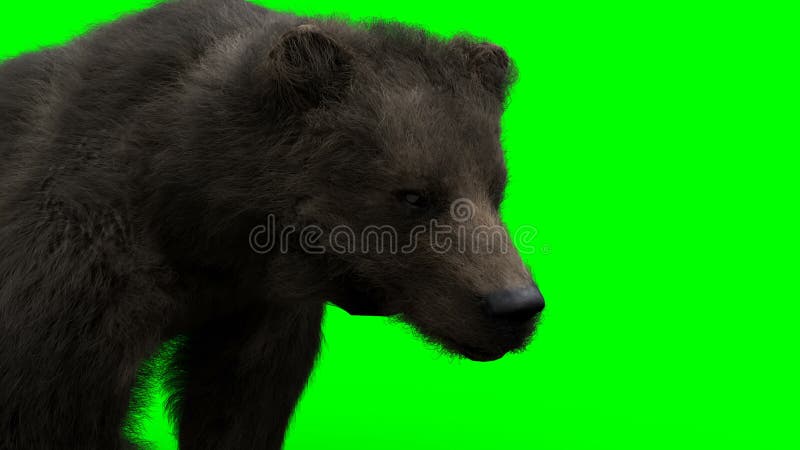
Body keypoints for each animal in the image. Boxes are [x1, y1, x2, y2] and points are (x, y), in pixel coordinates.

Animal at [0, 0, 545, 448]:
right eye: (414, 194)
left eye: (496, 189)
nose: (515, 305)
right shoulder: (73, 286)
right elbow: (51, 416)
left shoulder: (258, 312)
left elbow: (237, 410)